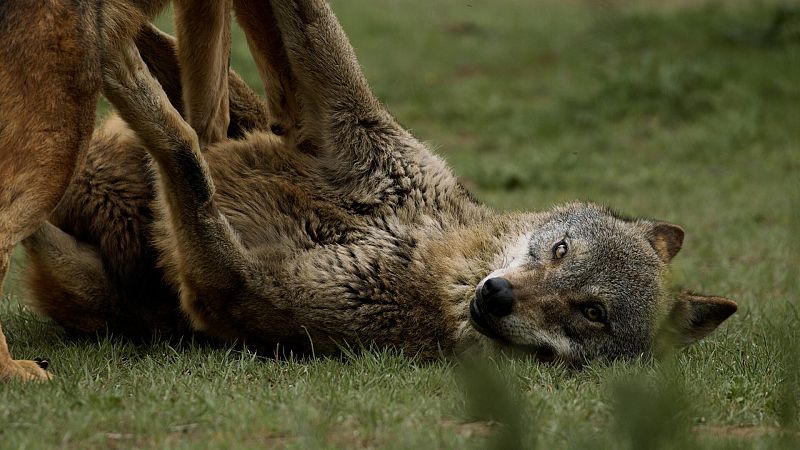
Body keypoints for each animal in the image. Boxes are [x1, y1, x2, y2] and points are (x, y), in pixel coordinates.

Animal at [22, 0, 737, 365]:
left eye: (590, 313)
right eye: (561, 250)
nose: (498, 296)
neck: (432, 246)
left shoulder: (222, 288)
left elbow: (184, 157)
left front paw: (121, 72)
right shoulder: (333, 118)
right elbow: (307, 28)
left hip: (86, 277)